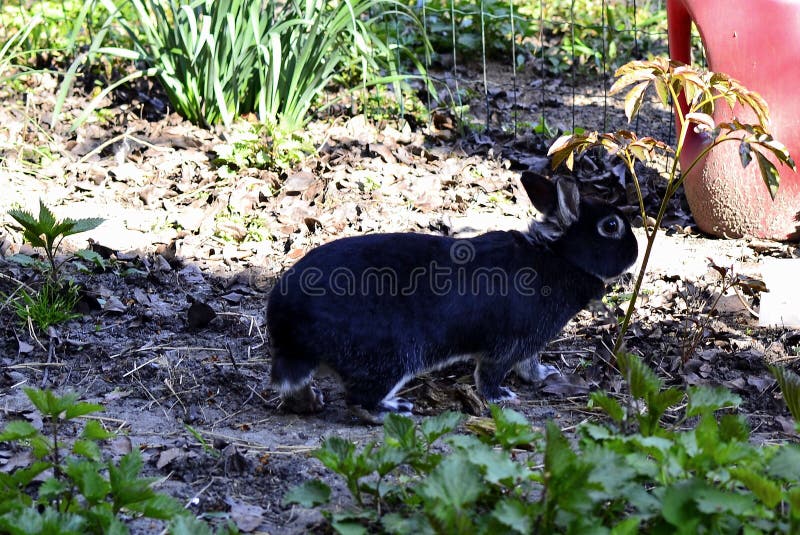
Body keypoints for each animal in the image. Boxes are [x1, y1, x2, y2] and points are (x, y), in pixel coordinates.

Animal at [267, 171, 638, 420]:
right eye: (611, 227)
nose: (636, 253)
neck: (560, 257)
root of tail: (287, 325)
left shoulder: (529, 343)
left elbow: (529, 365)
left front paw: (545, 375)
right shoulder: (511, 342)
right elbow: (491, 374)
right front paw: (501, 396)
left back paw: (311, 401)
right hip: (393, 356)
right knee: (360, 399)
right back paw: (394, 409)